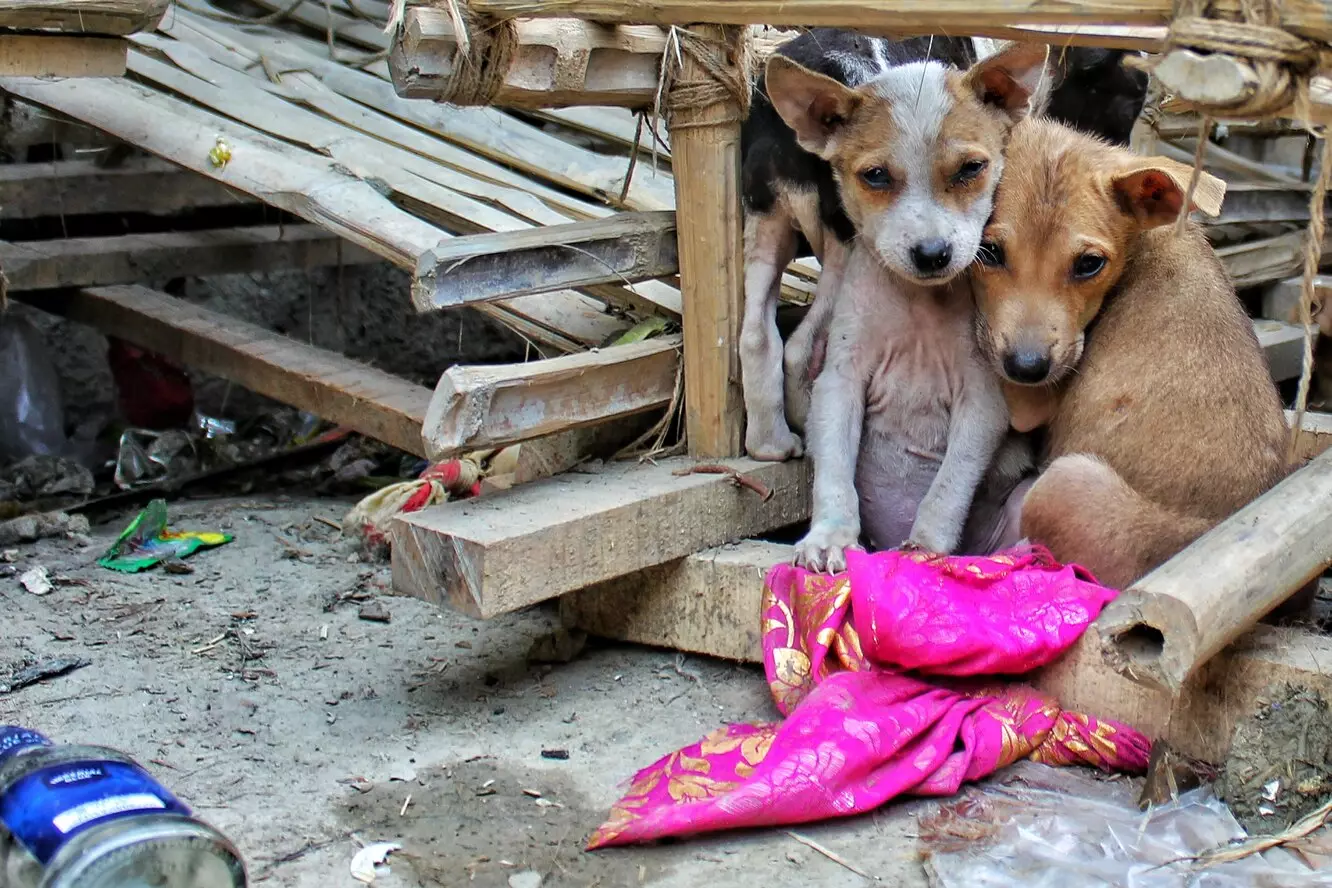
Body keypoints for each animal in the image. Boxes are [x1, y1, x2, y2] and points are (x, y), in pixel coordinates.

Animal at [969, 116, 1289, 591]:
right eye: (988, 252)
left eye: (1089, 264)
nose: (1027, 369)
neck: (1147, 241)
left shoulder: (1030, 400)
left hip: (1063, 483)